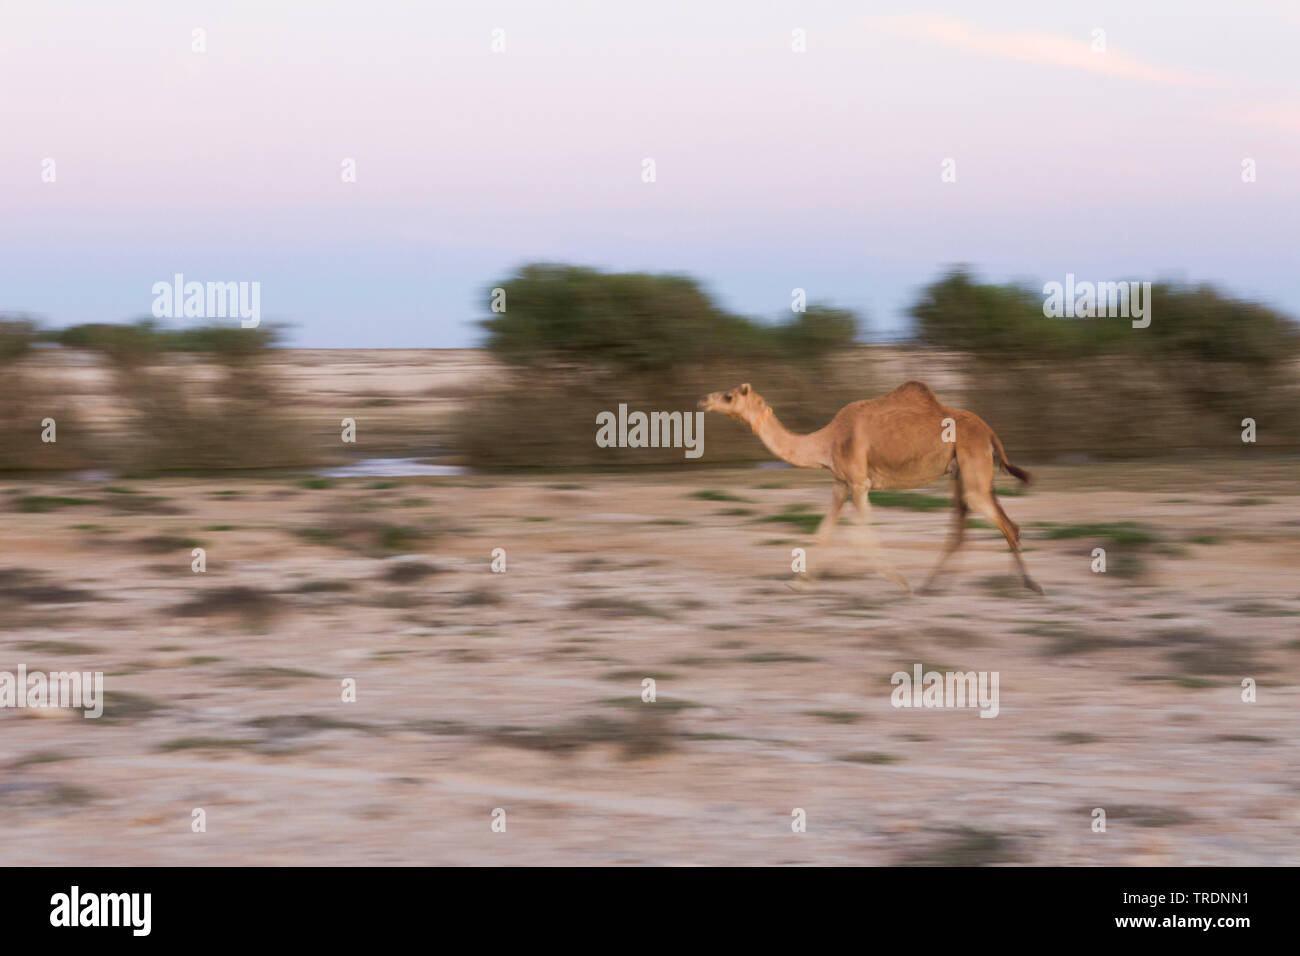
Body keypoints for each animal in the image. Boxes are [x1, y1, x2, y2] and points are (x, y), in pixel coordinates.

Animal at [698, 381, 1042, 595]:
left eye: (729, 397)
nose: (704, 399)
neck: (827, 441)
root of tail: (989, 431)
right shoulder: (840, 483)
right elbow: (824, 531)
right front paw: (800, 584)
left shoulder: (859, 482)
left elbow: (862, 537)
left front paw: (900, 583)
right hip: (960, 472)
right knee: (965, 528)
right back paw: (934, 586)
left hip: (972, 466)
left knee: (1004, 523)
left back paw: (1029, 585)